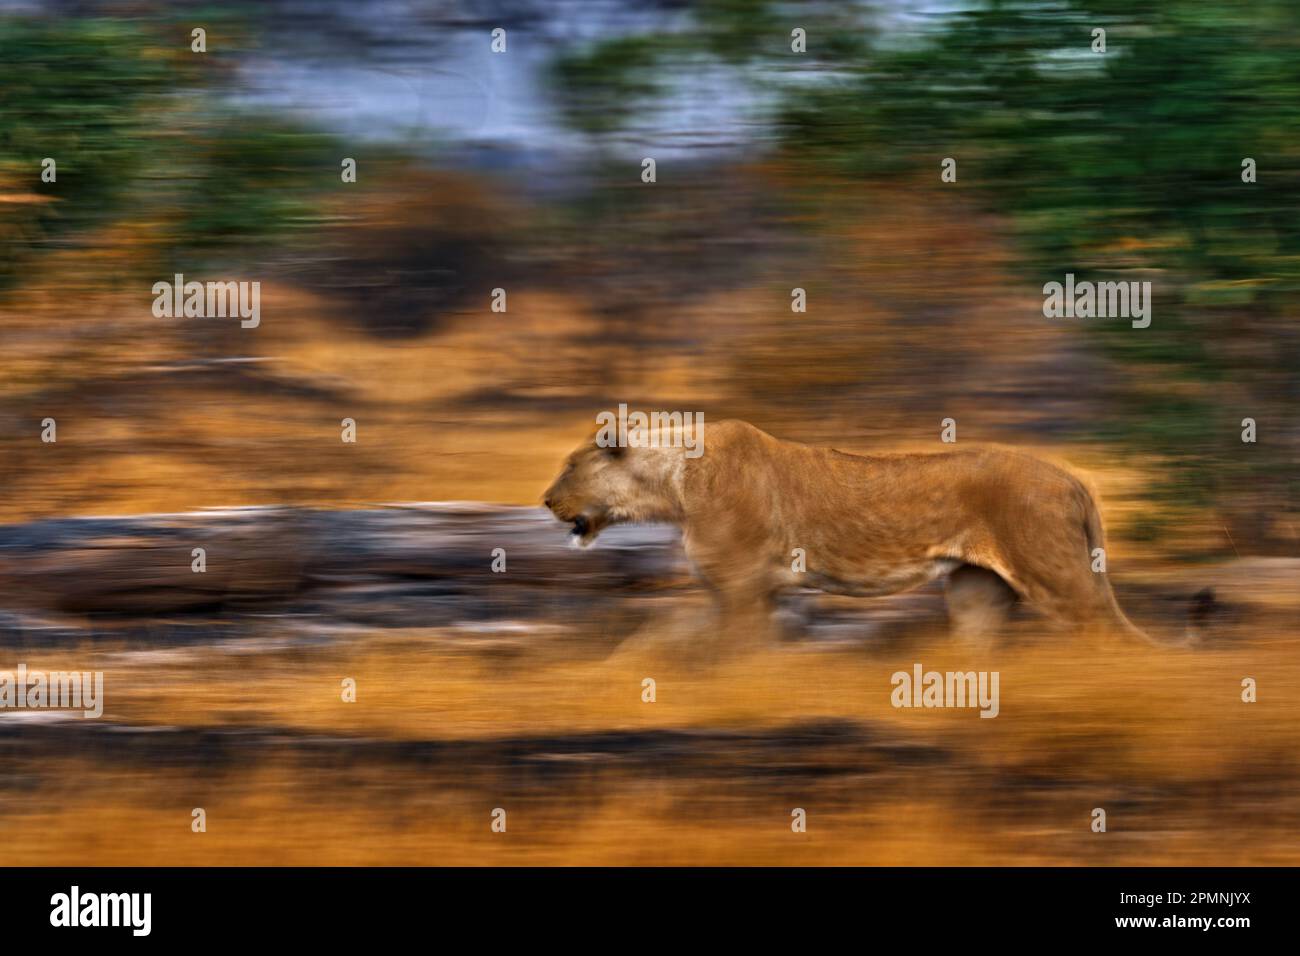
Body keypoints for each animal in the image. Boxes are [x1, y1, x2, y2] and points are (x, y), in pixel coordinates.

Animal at [543, 418, 1162, 647]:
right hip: (976, 589)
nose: (545, 500)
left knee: (1111, 637)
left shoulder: (741, 588)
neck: (671, 486)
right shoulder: (753, 592)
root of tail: (1074, 477)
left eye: (570, 466)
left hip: (1056, 576)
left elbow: (732, 654)